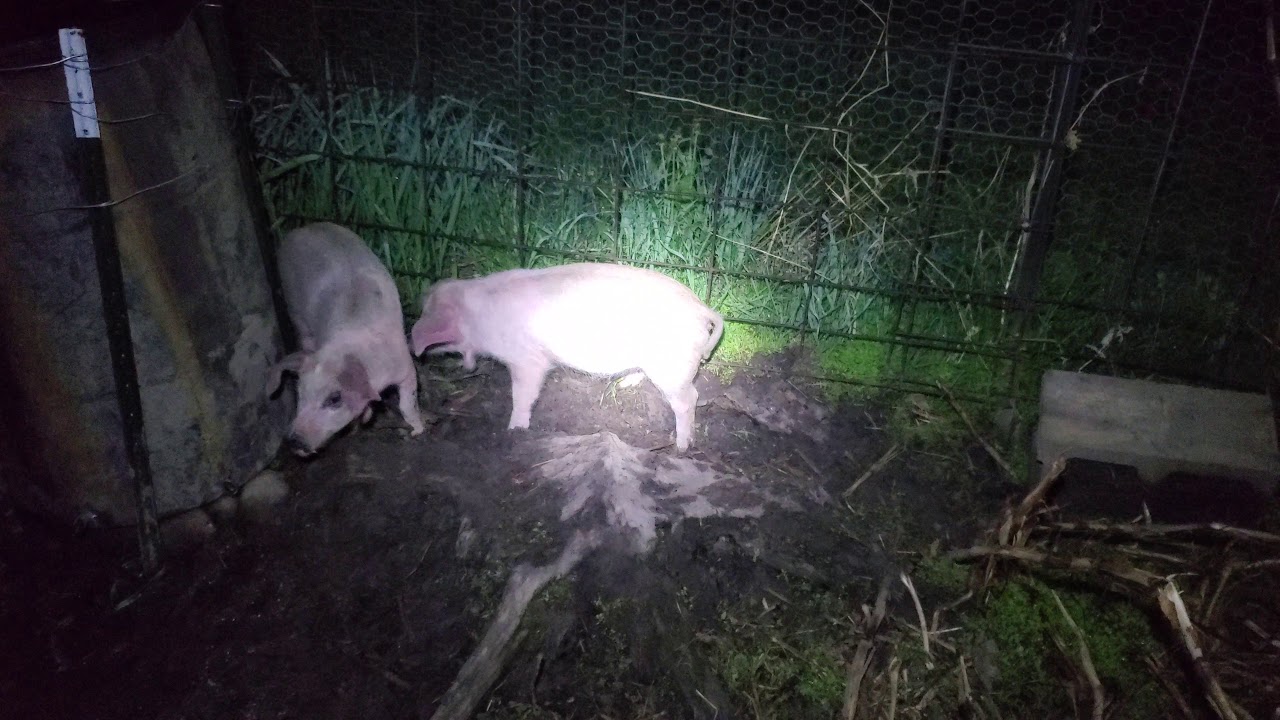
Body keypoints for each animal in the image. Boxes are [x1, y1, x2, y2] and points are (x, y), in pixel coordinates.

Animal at [267, 222, 425, 456]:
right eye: (299, 393)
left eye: (334, 399)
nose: (294, 442)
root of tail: (301, 229)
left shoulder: (405, 366)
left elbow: (408, 402)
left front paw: (417, 430)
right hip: (293, 305)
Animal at [409, 262, 723, 451]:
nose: (414, 346)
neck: (479, 317)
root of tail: (702, 310)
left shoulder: (528, 359)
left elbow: (523, 394)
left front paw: (514, 429)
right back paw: (625, 384)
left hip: (673, 368)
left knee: (689, 398)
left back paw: (682, 445)